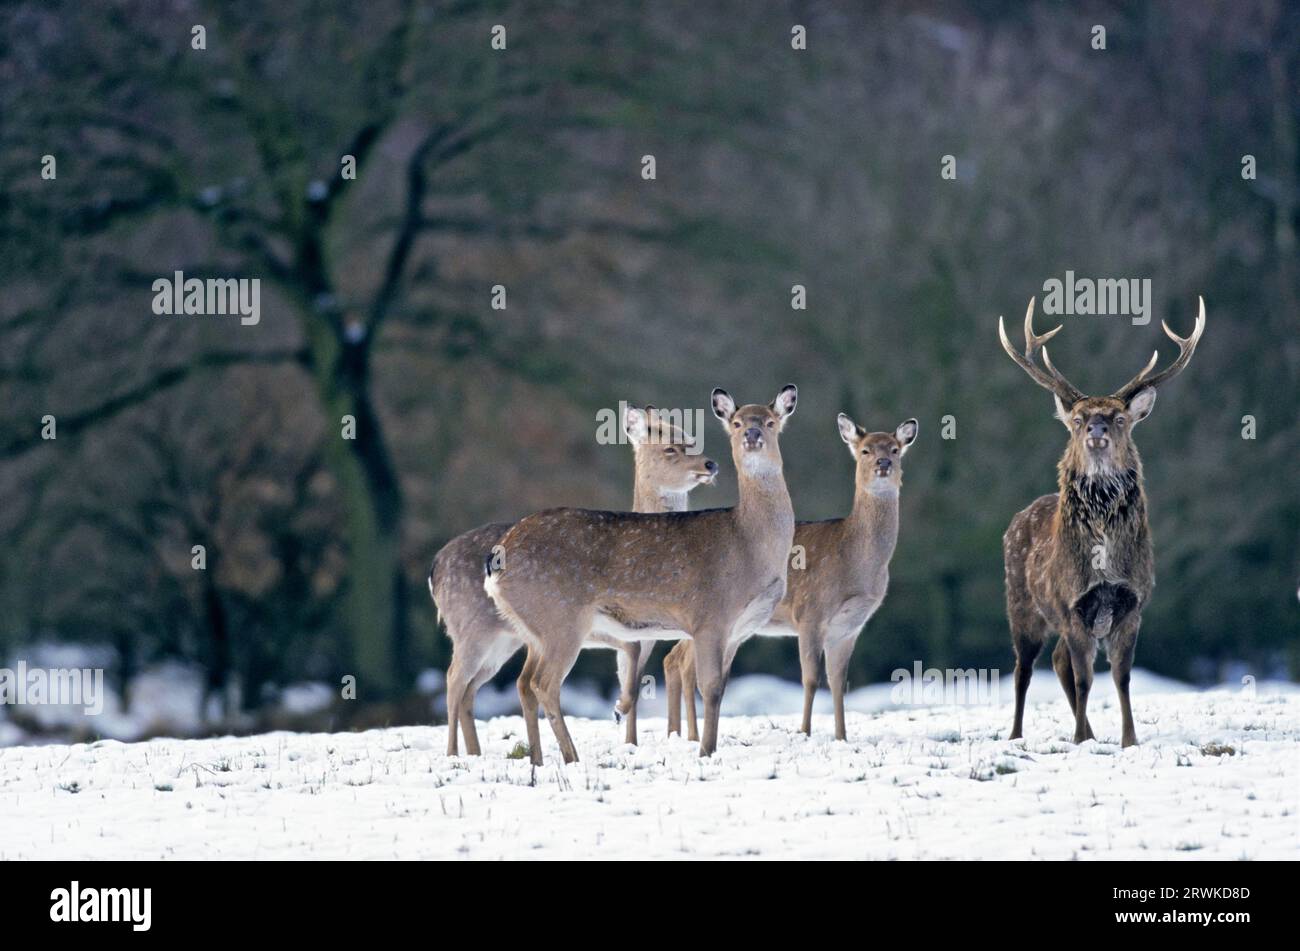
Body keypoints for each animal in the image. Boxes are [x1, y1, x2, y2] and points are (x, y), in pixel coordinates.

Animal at [430, 405, 717, 757]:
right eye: (670, 448)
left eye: (690, 438)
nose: (709, 464)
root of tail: (435, 568)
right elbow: (632, 674)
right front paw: (621, 718)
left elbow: (633, 676)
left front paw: (630, 737)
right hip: (474, 630)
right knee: (457, 679)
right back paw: (456, 753)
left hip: (504, 641)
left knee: (483, 686)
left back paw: (486, 752)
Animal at [484, 386, 799, 764]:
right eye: (736, 423)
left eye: (770, 422)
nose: (752, 435)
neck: (749, 545)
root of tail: (498, 557)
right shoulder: (710, 617)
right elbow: (709, 688)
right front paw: (705, 751)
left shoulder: (738, 631)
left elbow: (721, 689)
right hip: (560, 618)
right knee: (544, 683)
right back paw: (572, 757)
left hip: (534, 629)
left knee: (524, 681)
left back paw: (539, 759)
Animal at [663, 413, 918, 742]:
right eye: (865, 451)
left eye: (896, 450)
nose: (883, 463)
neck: (855, 563)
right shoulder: (811, 611)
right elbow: (810, 679)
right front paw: (805, 731)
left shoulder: (850, 626)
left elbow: (838, 682)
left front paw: (841, 736)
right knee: (681, 662)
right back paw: (690, 736)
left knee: (674, 659)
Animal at [1000, 296, 1205, 748]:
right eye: (1077, 419)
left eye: (1121, 418)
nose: (1096, 428)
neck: (1104, 561)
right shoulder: (1073, 604)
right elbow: (1084, 680)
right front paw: (1079, 740)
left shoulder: (1132, 604)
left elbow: (1121, 678)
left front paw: (1128, 740)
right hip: (1021, 604)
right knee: (1024, 668)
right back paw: (1016, 735)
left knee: (1058, 659)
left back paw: (1089, 731)